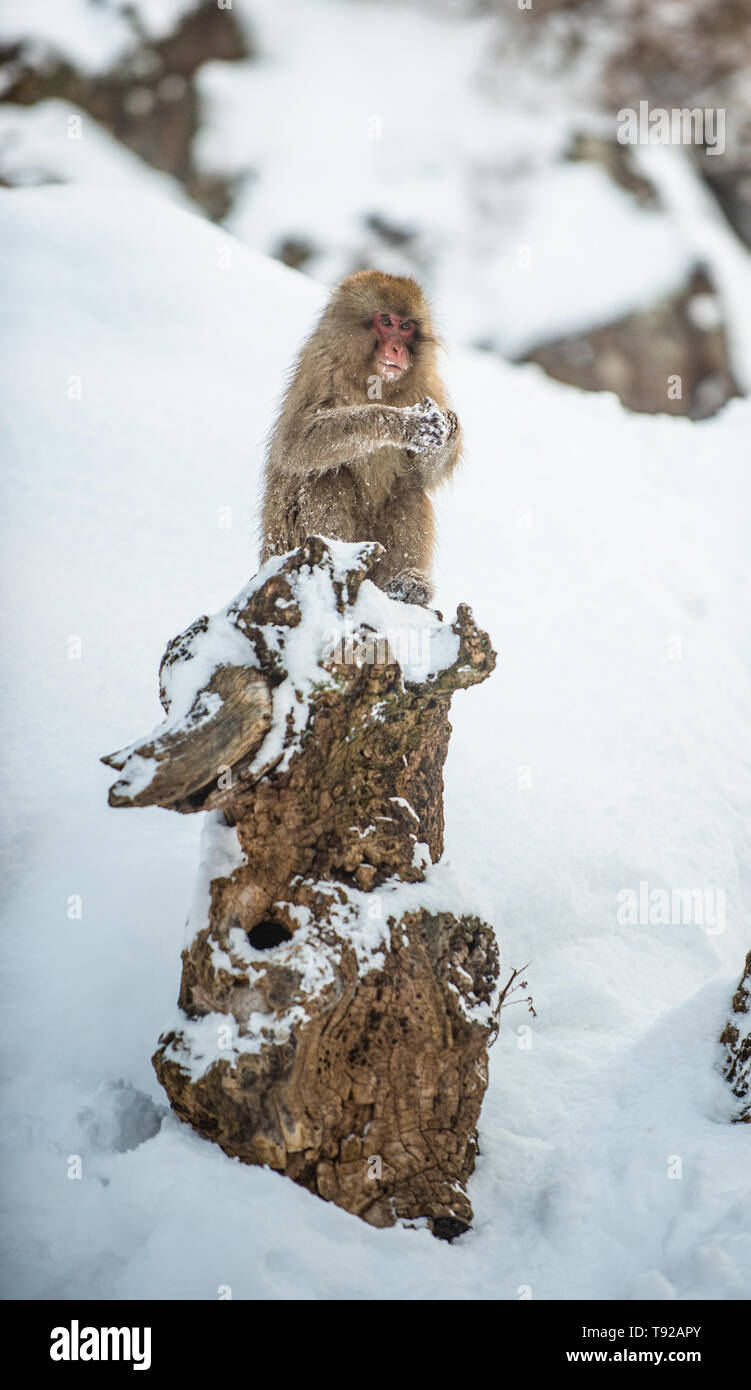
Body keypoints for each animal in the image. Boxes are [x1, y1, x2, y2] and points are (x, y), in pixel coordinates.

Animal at [259, 270, 461, 606]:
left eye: (406, 327)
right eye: (386, 321)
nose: (397, 350)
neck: (372, 377)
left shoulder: (426, 384)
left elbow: (426, 475)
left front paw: (447, 429)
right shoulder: (321, 366)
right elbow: (294, 444)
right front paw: (402, 422)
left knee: (409, 492)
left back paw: (406, 584)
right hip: (284, 542)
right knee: (325, 477)